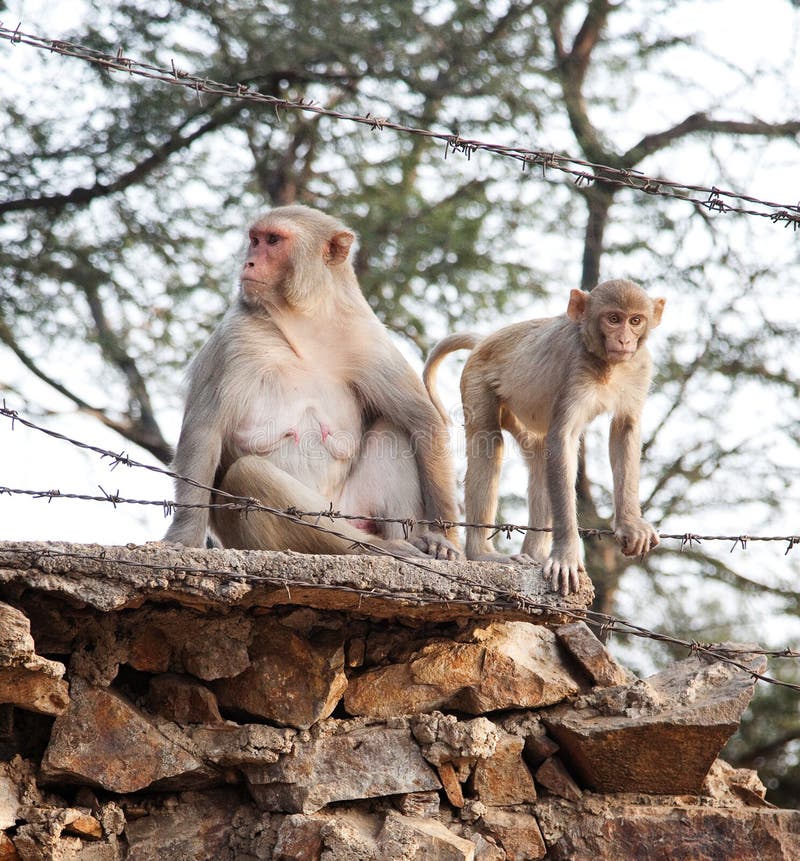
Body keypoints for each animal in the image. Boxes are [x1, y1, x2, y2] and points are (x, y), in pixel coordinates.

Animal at [164, 204, 460, 560]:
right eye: (255, 240)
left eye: (273, 241)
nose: (249, 263)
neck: (303, 323)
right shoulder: (233, 341)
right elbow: (204, 435)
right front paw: (185, 534)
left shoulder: (364, 337)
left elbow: (422, 421)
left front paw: (442, 537)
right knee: (249, 475)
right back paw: (381, 549)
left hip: (350, 506)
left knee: (395, 428)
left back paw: (403, 541)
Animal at [423, 279, 665, 594]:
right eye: (613, 319)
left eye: (635, 320)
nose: (624, 340)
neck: (606, 363)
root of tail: (486, 339)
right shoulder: (573, 367)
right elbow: (562, 440)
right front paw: (566, 554)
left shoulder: (640, 367)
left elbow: (625, 429)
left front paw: (630, 524)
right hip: (477, 378)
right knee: (489, 443)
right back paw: (483, 553)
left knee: (539, 458)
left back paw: (534, 555)